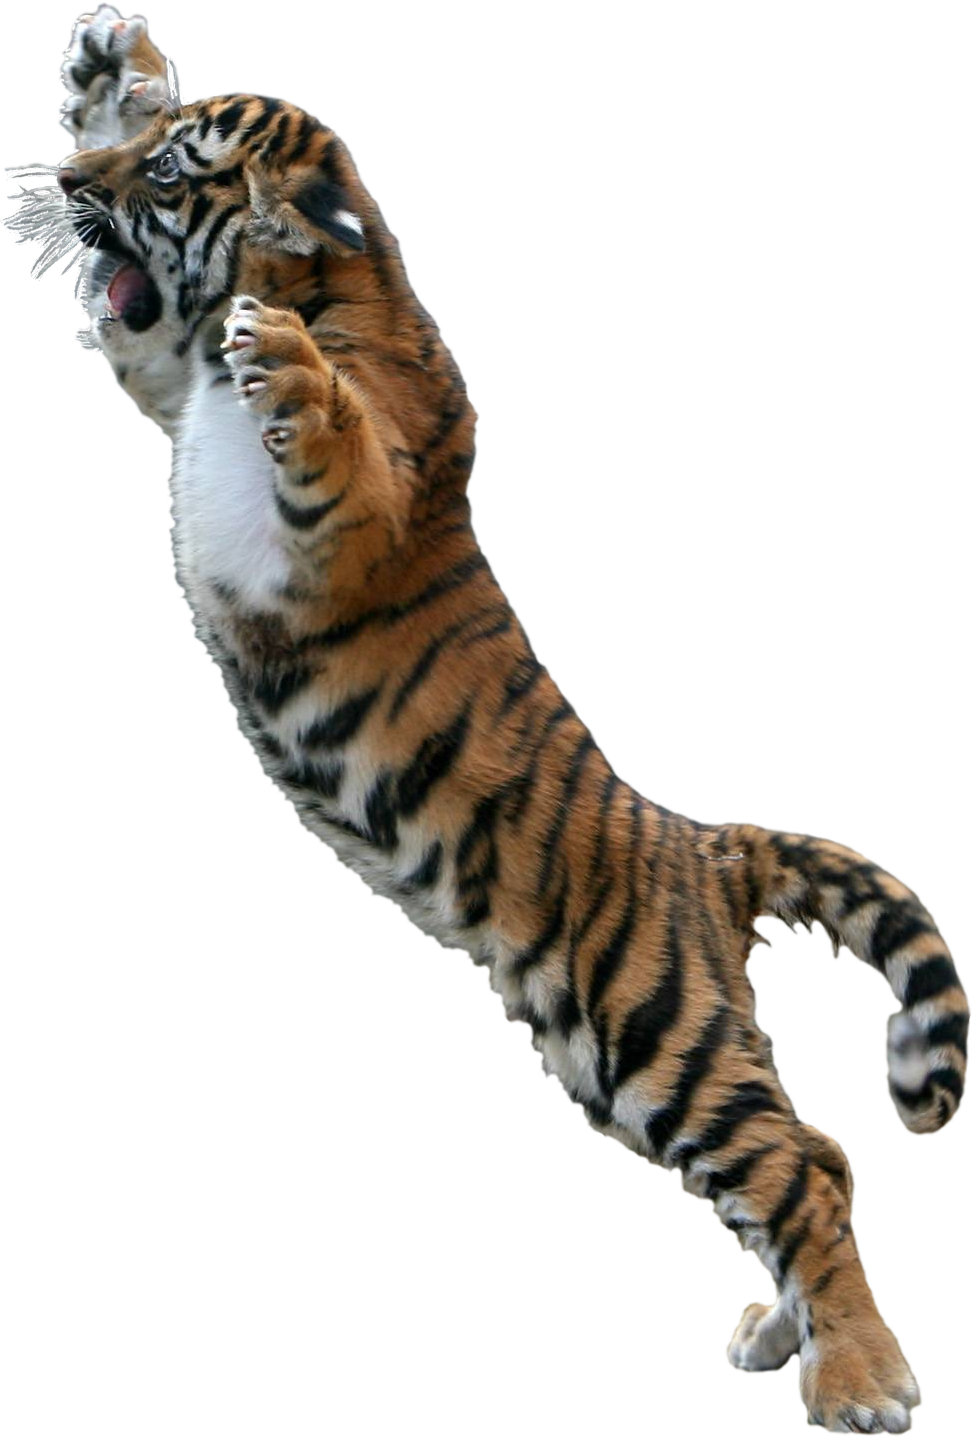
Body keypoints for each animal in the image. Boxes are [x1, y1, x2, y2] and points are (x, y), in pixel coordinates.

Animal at [5, 9, 968, 1434]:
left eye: (170, 175)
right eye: (139, 147)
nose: (72, 180)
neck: (313, 282)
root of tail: (700, 844)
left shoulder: (351, 514)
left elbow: (333, 435)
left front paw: (286, 364)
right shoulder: (163, 381)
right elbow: (132, 339)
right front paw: (108, 62)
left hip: (656, 1029)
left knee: (795, 1161)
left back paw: (861, 1381)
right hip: (604, 1060)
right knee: (819, 1153)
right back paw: (778, 1336)